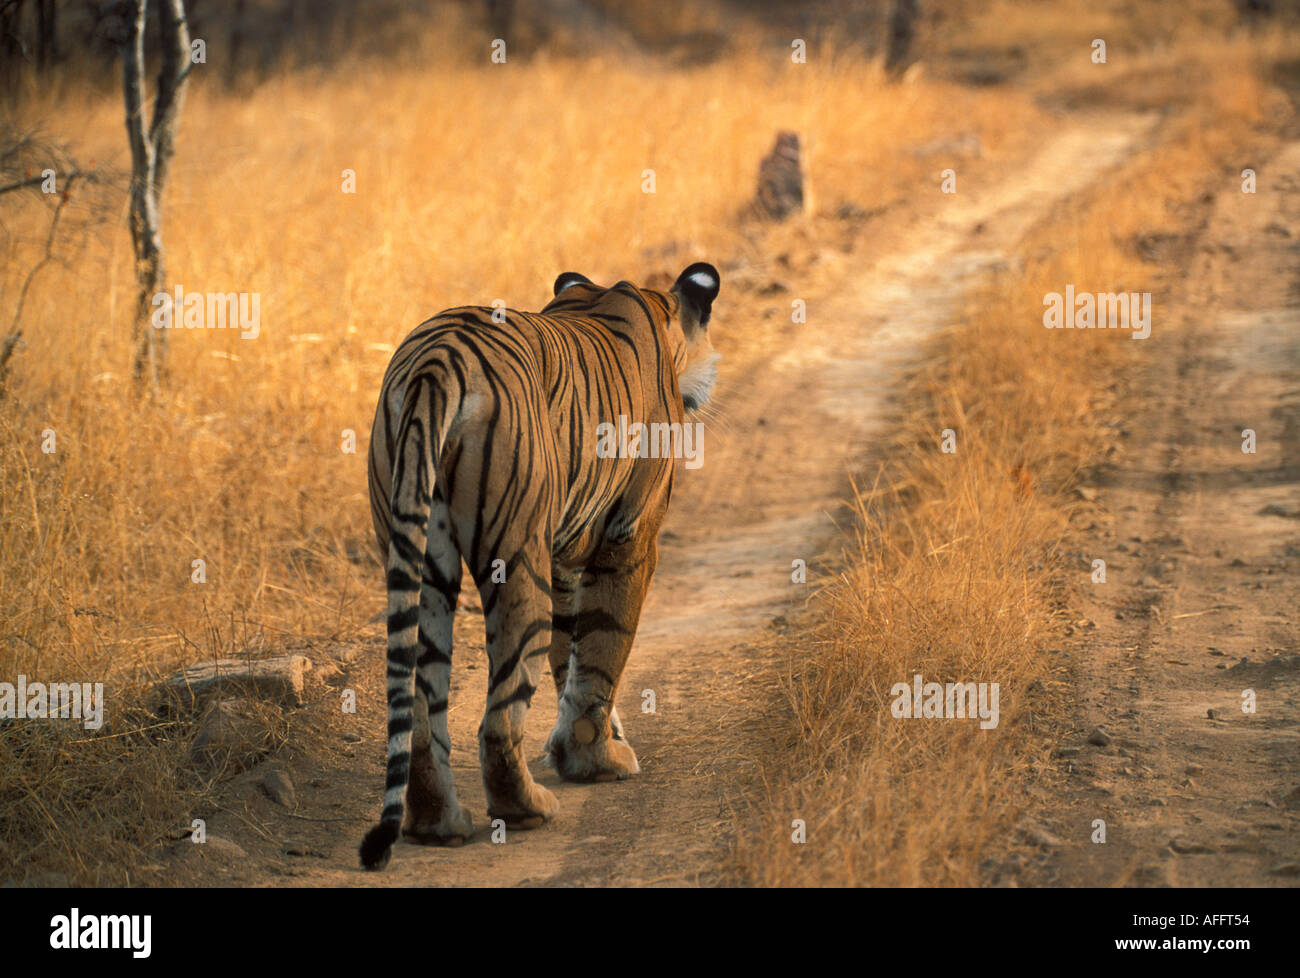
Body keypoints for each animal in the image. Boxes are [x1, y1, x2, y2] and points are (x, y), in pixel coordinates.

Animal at [359, 262, 721, 870]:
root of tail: (436, 359)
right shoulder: (628, 538)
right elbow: (601, 650)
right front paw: (598, 761)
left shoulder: (564, 555)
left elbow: (569, 654)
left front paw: (582, 747)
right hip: (515, 558)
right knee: (499, 713)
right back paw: (526, 807)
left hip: (421, 557)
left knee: (422, 709)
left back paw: (439, 823)